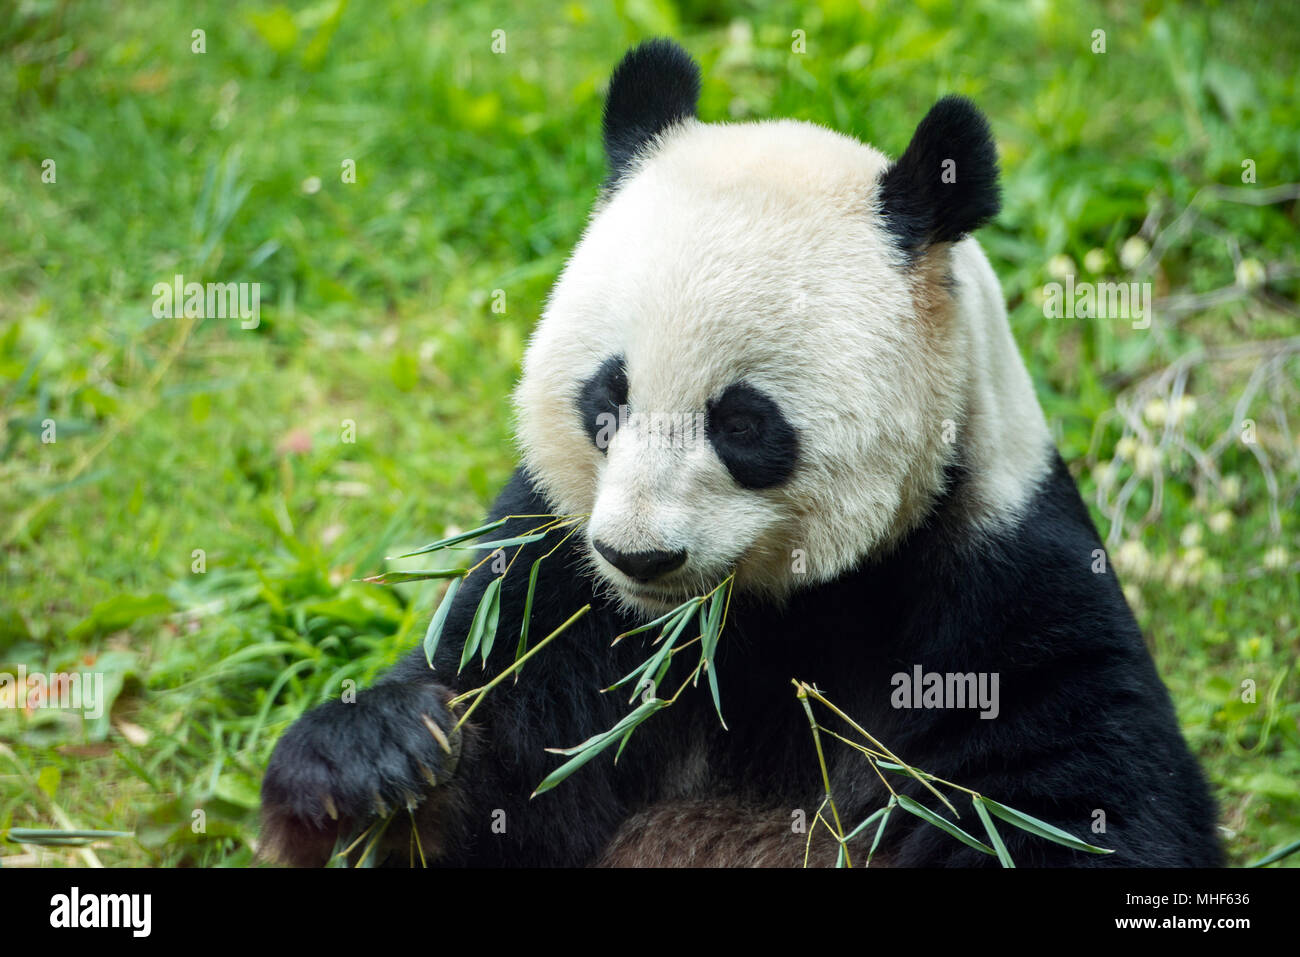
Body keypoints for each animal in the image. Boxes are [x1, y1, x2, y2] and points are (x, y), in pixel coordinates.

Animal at [260, 38, 1222, 868]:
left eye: (744, 423)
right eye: (607, 400)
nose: (638, 554)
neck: (746, 622)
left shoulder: (997, 581)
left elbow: (1066, 796)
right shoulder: (561, 579)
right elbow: (499, 763)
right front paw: (377, 755)